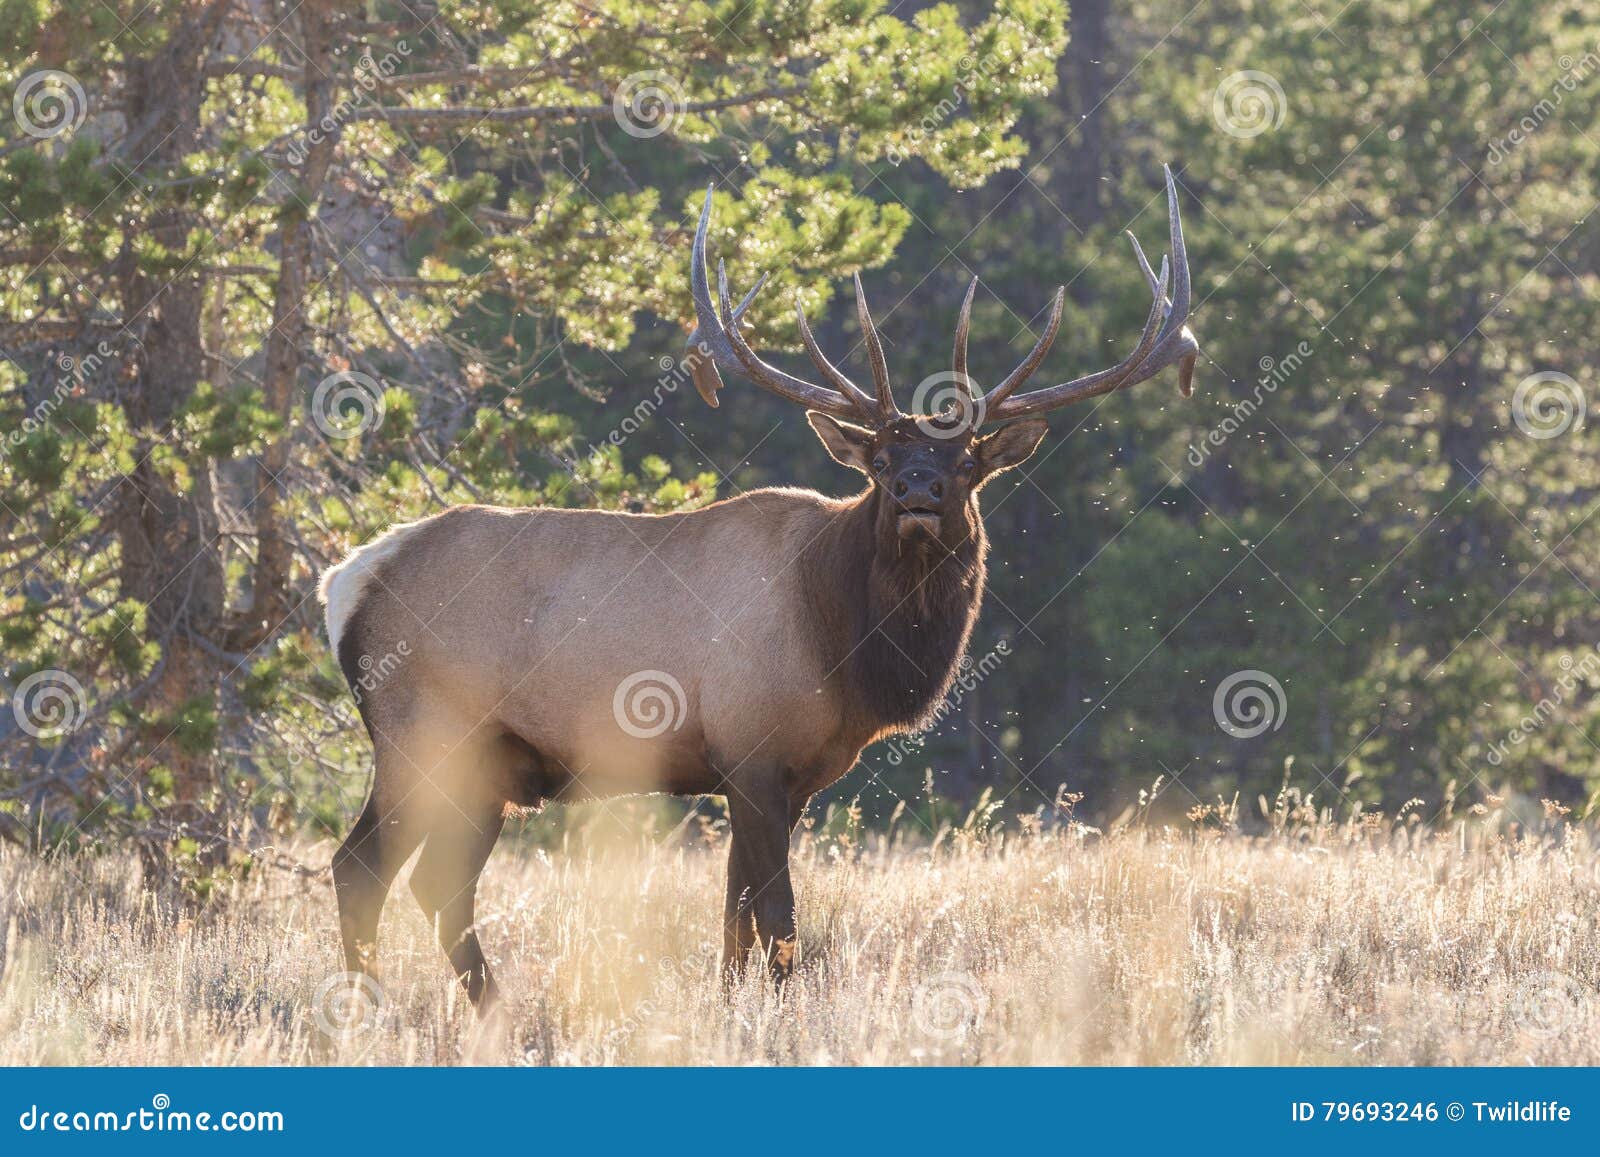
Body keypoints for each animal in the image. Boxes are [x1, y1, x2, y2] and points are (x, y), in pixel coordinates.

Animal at [320, 169, 1199, 1010]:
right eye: (882, 458)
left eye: (967, 462)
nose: (917, 490)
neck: (848, 648)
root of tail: (349, 580)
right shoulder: (750, 751)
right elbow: (776, 913)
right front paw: (779, 1013)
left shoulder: (786, 775)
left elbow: (734, 914)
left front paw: (730, 1007)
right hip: (422, 732)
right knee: (361, 867)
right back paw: (371, 1008)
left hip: (487, 766)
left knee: (435, 887)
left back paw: (488, 1011)